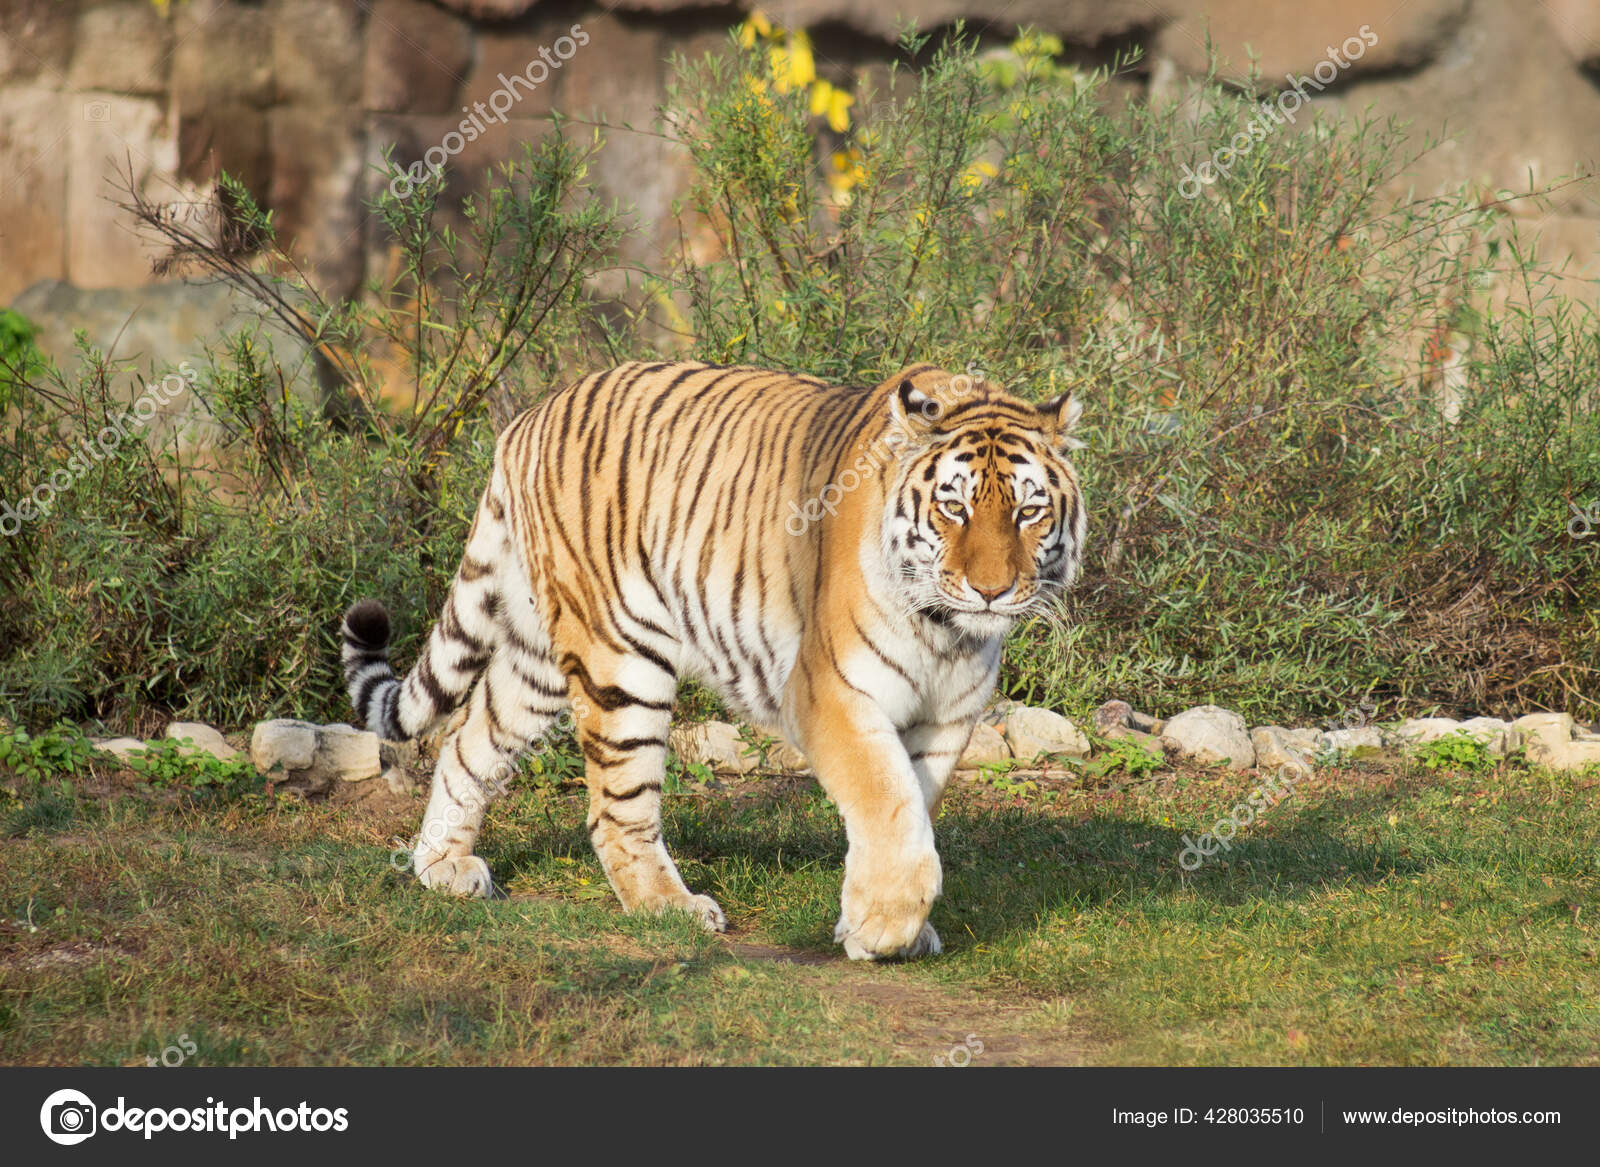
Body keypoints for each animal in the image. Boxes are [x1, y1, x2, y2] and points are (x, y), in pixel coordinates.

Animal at [340, 360, 1086, 960]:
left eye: (1028, 512)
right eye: (953, 507)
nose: (990, 590)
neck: (945, 634)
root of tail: (529, 417)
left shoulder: (946, 720)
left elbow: (911, 809)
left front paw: (878, 923)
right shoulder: (830, 692)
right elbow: (886, 799)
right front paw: (885, 928)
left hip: (536, 657)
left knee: (469, 739)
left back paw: (441, 866)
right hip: (622, 657)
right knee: (616, 807)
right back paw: (670, 907)